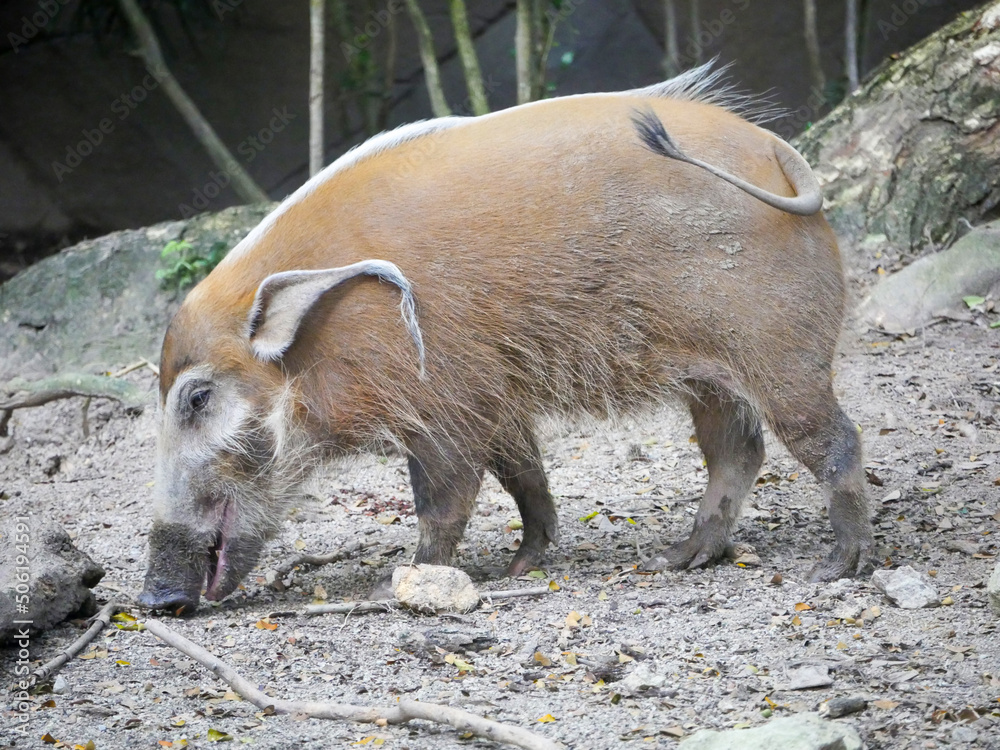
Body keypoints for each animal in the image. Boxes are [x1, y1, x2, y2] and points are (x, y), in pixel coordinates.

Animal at [138, 63, 873, 613]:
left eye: (197, 399)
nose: (153, 601)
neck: (323, 338)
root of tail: (775, 149)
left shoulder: (444, 404)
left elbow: (443, 500)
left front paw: (403, 582)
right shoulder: (496, 403)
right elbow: (525, 478)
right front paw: (520, 566)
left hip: (780, 353)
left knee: (833, 440)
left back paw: (835, 566)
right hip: (710, 376)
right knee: (737, 451)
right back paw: (678, 559)